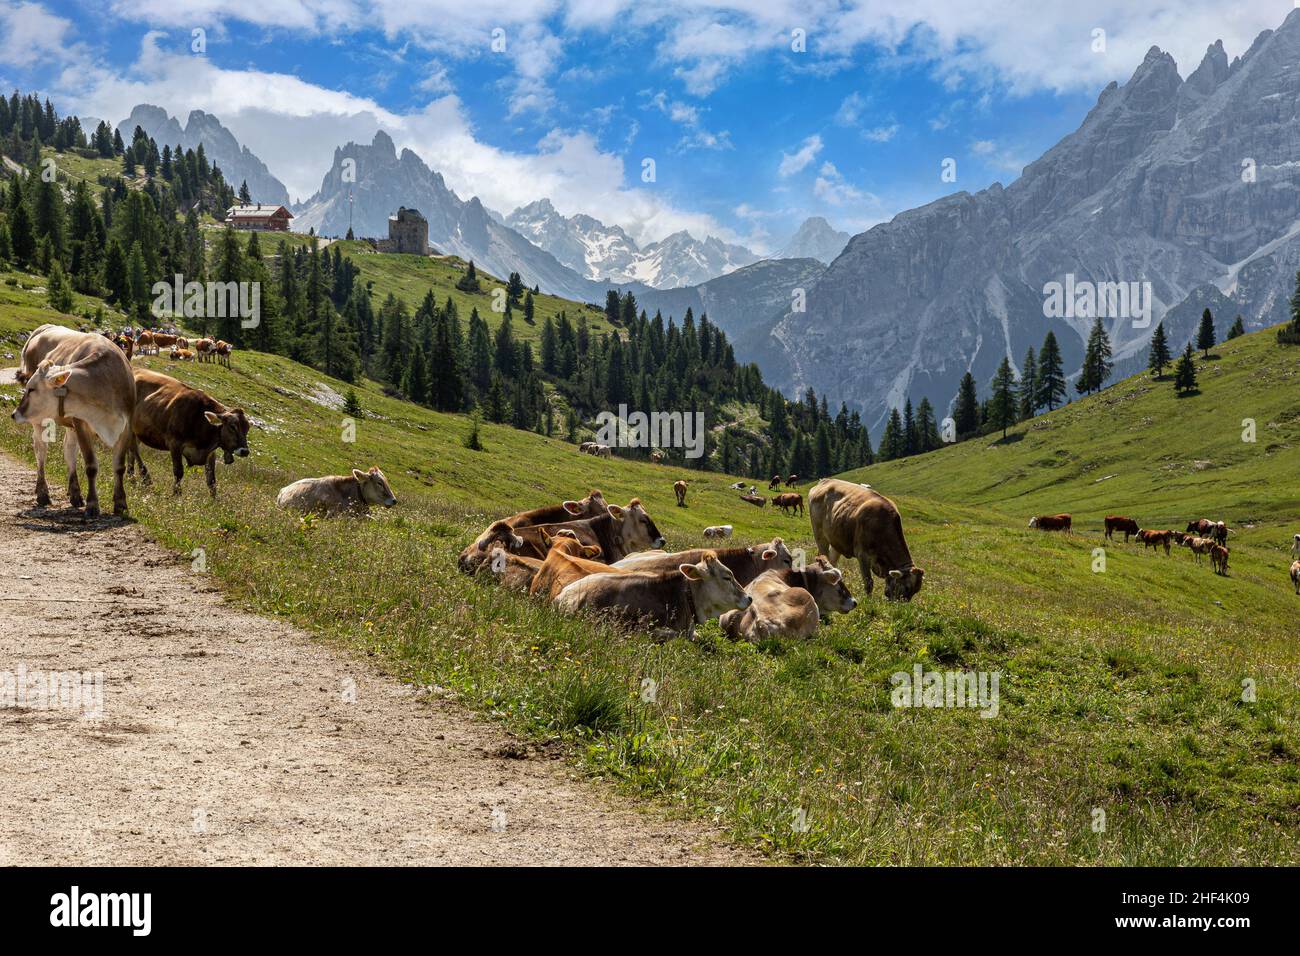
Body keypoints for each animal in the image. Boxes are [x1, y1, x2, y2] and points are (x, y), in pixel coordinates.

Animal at [11, 327, 135, 517]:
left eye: (31, 389)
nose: (14, 414)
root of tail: (45, 327)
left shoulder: (126, 426)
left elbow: (119, 466)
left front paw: (121, 504)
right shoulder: (81, 423)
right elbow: (91, 465)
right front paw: (93, 504)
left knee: (69, 450)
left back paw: (75, 493)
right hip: (40, 419)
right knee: (41, 450)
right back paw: (43, 493)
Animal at [125, 369, 250, 497]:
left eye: (247, 429)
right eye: (232, 426)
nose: (244, 451)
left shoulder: (211, 452)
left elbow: (211, 479)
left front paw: (214, 499)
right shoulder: (174, 443)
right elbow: (178, 471)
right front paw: (176, 494)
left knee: (131, 450)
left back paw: (131, 476)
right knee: (134, 449)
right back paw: (146, 478)